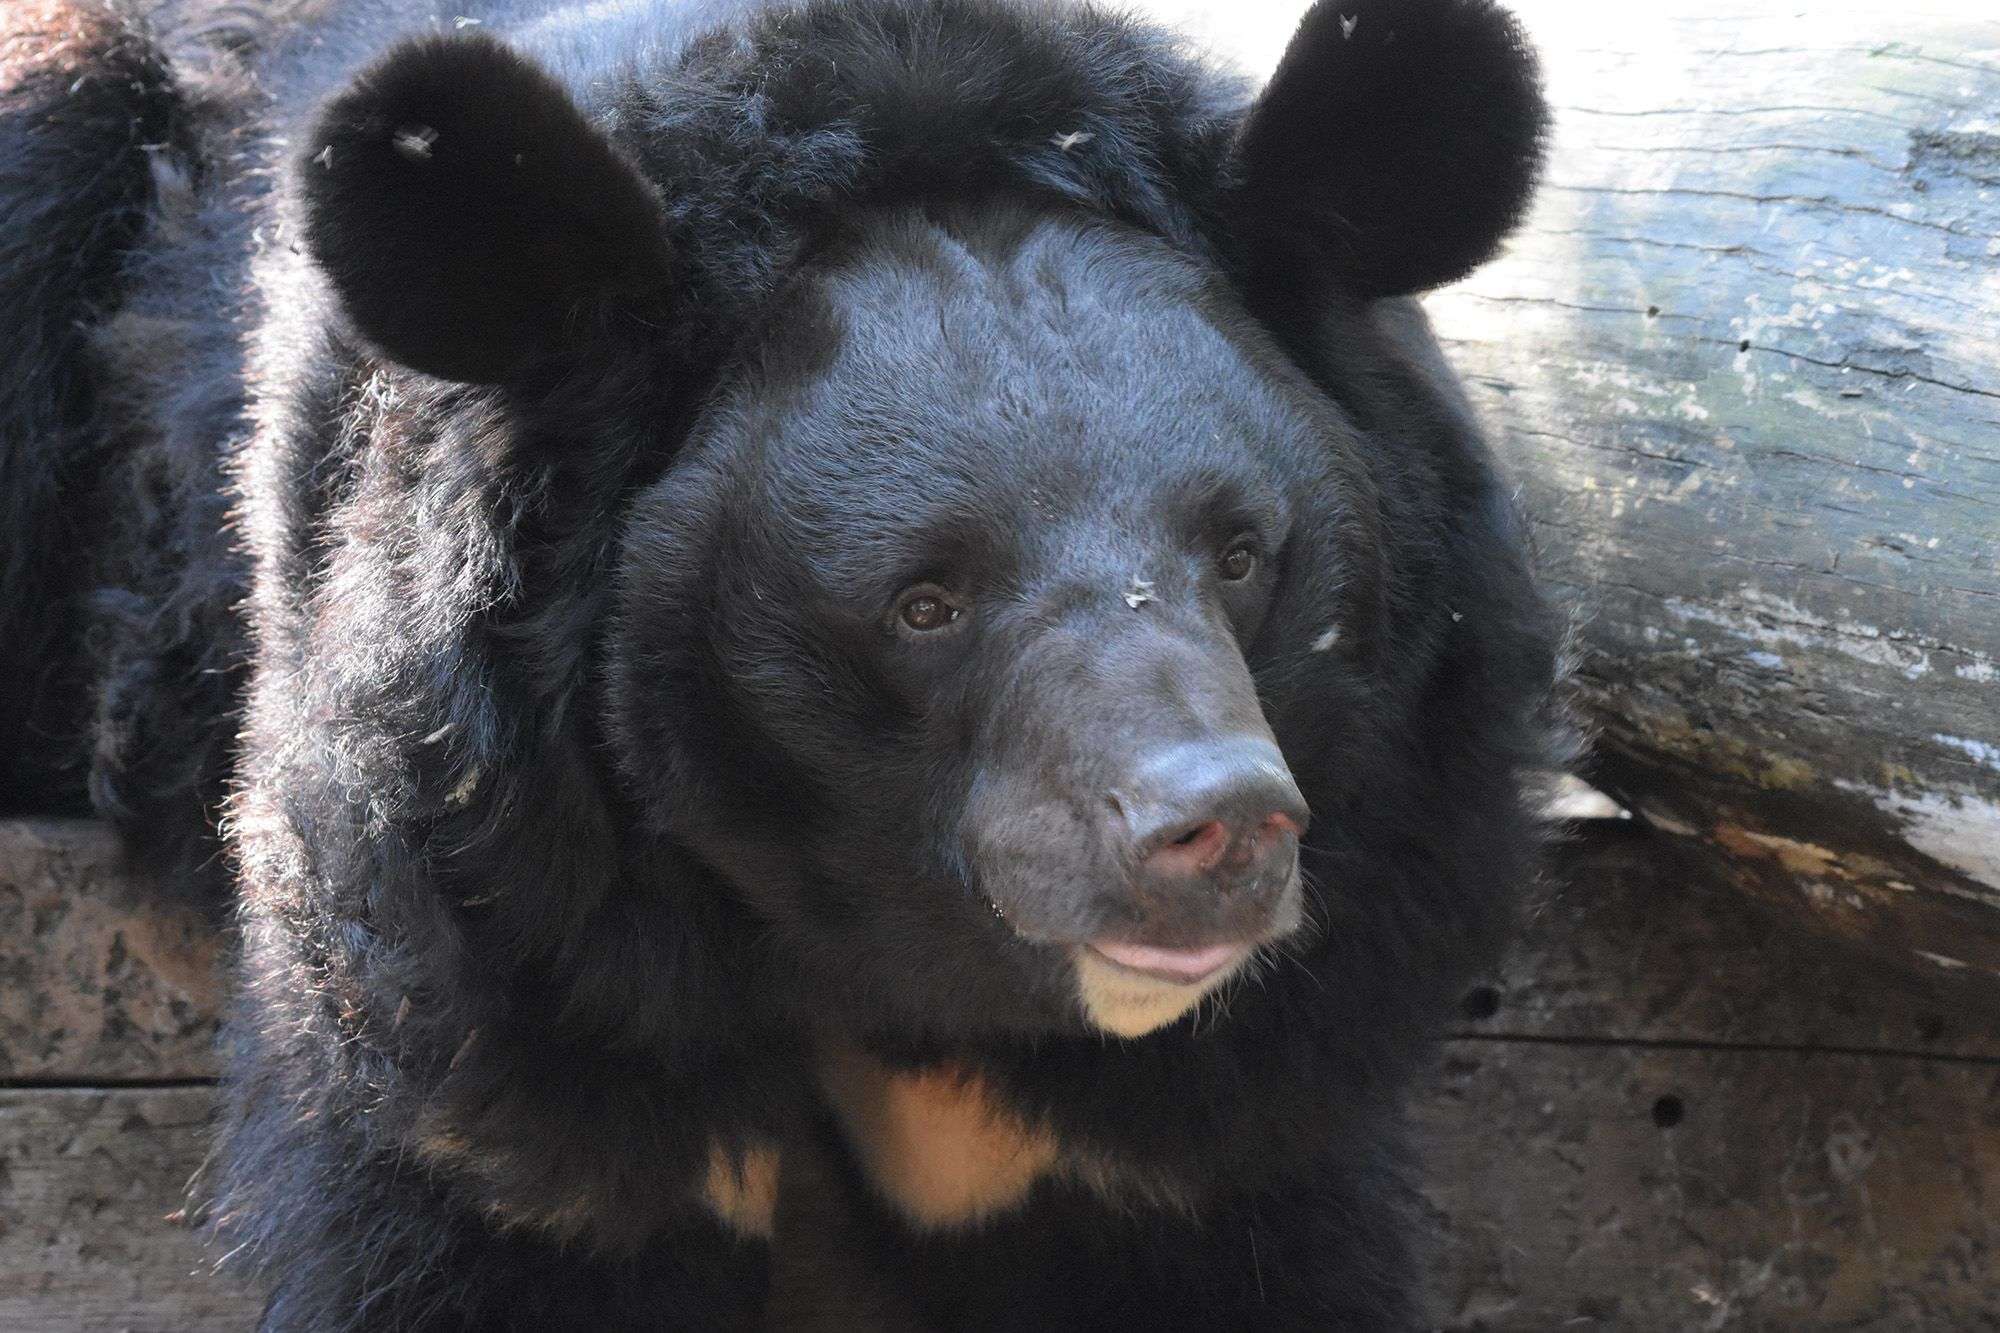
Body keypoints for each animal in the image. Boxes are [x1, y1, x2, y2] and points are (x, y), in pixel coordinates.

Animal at [0, 0, 1563, 1326]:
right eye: (925, 604)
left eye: (1239, 553)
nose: (1218, 831)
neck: (852, 953)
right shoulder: (491, 953)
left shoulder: (1230, 1086)